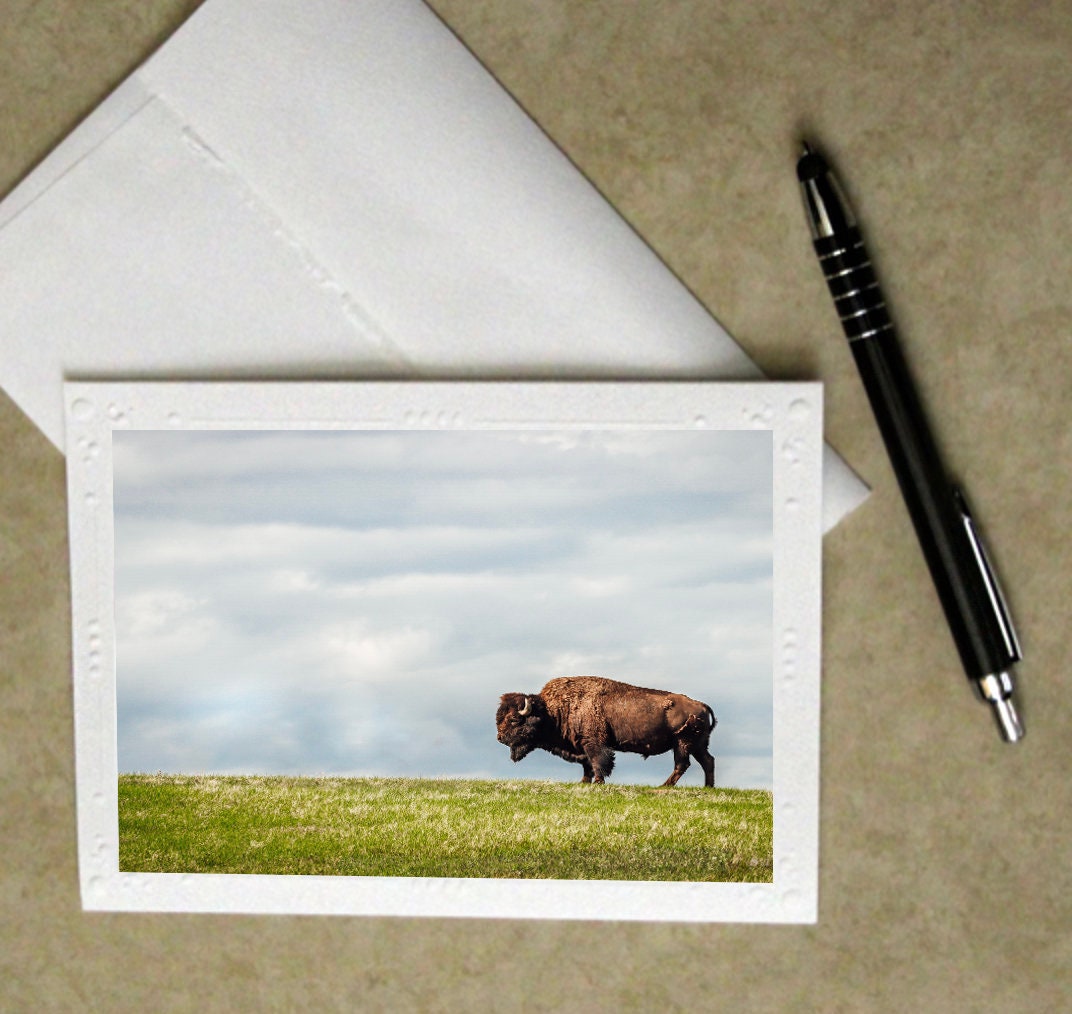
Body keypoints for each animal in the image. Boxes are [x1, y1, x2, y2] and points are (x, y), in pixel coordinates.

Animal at [496, 676, 716, 787]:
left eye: (514, 719)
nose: (500, 738)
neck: (552, 710)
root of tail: (701, 705)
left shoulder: (594, 743)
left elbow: (598, 762)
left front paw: (598, 783)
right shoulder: (581, 745)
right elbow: (586, 765)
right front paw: (584, 783)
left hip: (682, 743)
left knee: (683, 764)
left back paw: (663, 787)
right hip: (697, 745)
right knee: (707, 761)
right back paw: (707, 787)